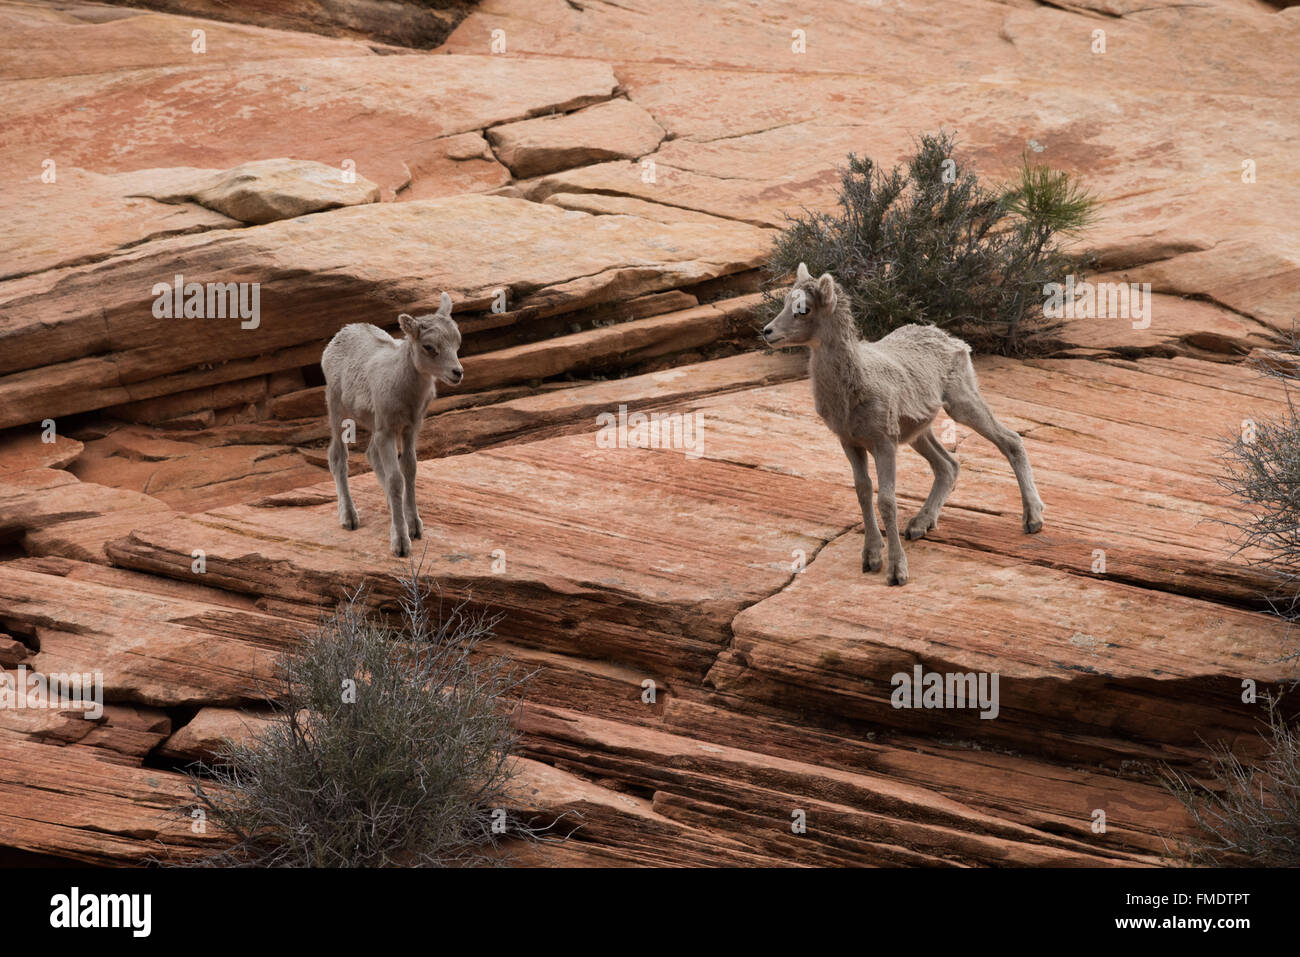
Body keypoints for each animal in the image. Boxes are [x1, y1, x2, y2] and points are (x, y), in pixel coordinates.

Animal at [321, 292, 463, 557]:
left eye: (457, 341)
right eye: (429, 347)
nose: (456, 373)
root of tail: (342, 332)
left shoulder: (409, 429)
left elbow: (409, 470)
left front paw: (414, 526)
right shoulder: (387, 431)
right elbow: (396, 479)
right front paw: (401, 542)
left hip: (373, 424)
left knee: (371, 455)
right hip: (336, 408)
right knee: (338, 456)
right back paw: (348, 517)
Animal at [762, 263, 1044, 585]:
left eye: (803, 309)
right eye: (786, 303)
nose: (767, 332)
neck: (854, 386)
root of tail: (952, 340)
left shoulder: (884, 443)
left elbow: (887, 500)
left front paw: (897, 572)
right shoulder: (850, 443)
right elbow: (863, 491)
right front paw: (871, 558)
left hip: (962, 405)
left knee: (1010, 441)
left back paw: (1033, 520)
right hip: (918, 433)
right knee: (948, 465)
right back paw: (919, 525)